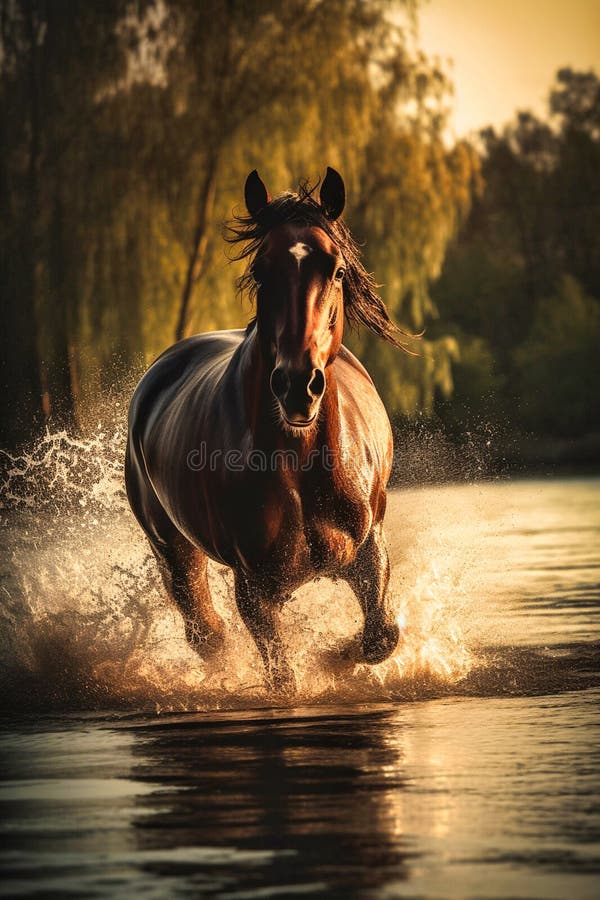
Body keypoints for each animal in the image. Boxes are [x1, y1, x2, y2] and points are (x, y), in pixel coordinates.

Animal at [125, 167, 408, 691]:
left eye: (337, 270)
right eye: (260, 270)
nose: (298, 385)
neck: (301, 464)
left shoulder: (368, 549)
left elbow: (382, 636)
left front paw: (333, 658)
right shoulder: (255, 588)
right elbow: (283, 678)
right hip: (173, 550)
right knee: (207, 634)